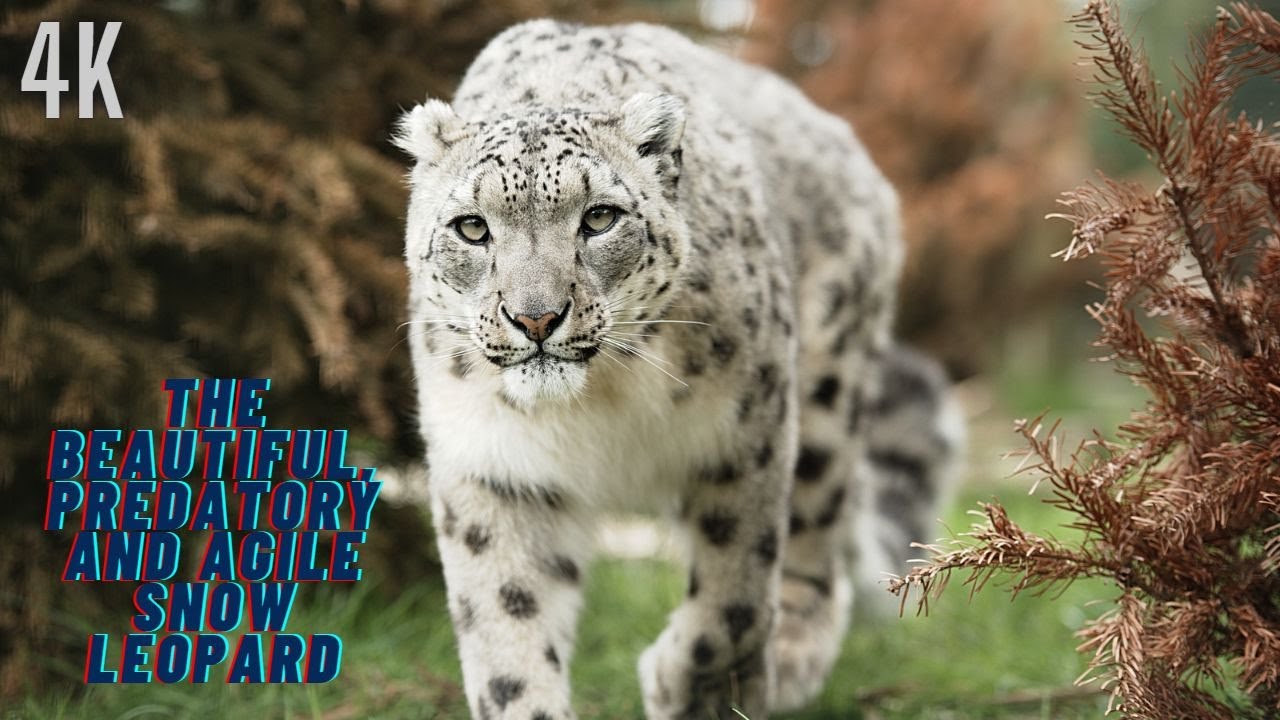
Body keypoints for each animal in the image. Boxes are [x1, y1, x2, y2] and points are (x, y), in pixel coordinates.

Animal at [394, 18, 963, 720]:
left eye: (599, 217)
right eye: (471, 228)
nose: (536, 318)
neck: (596, 405)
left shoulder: (744, 434)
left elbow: (734, 596)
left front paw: (692, 690)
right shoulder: (495, 467)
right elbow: (507, 619)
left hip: (827, 392)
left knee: (815, 540)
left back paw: (791, 656)